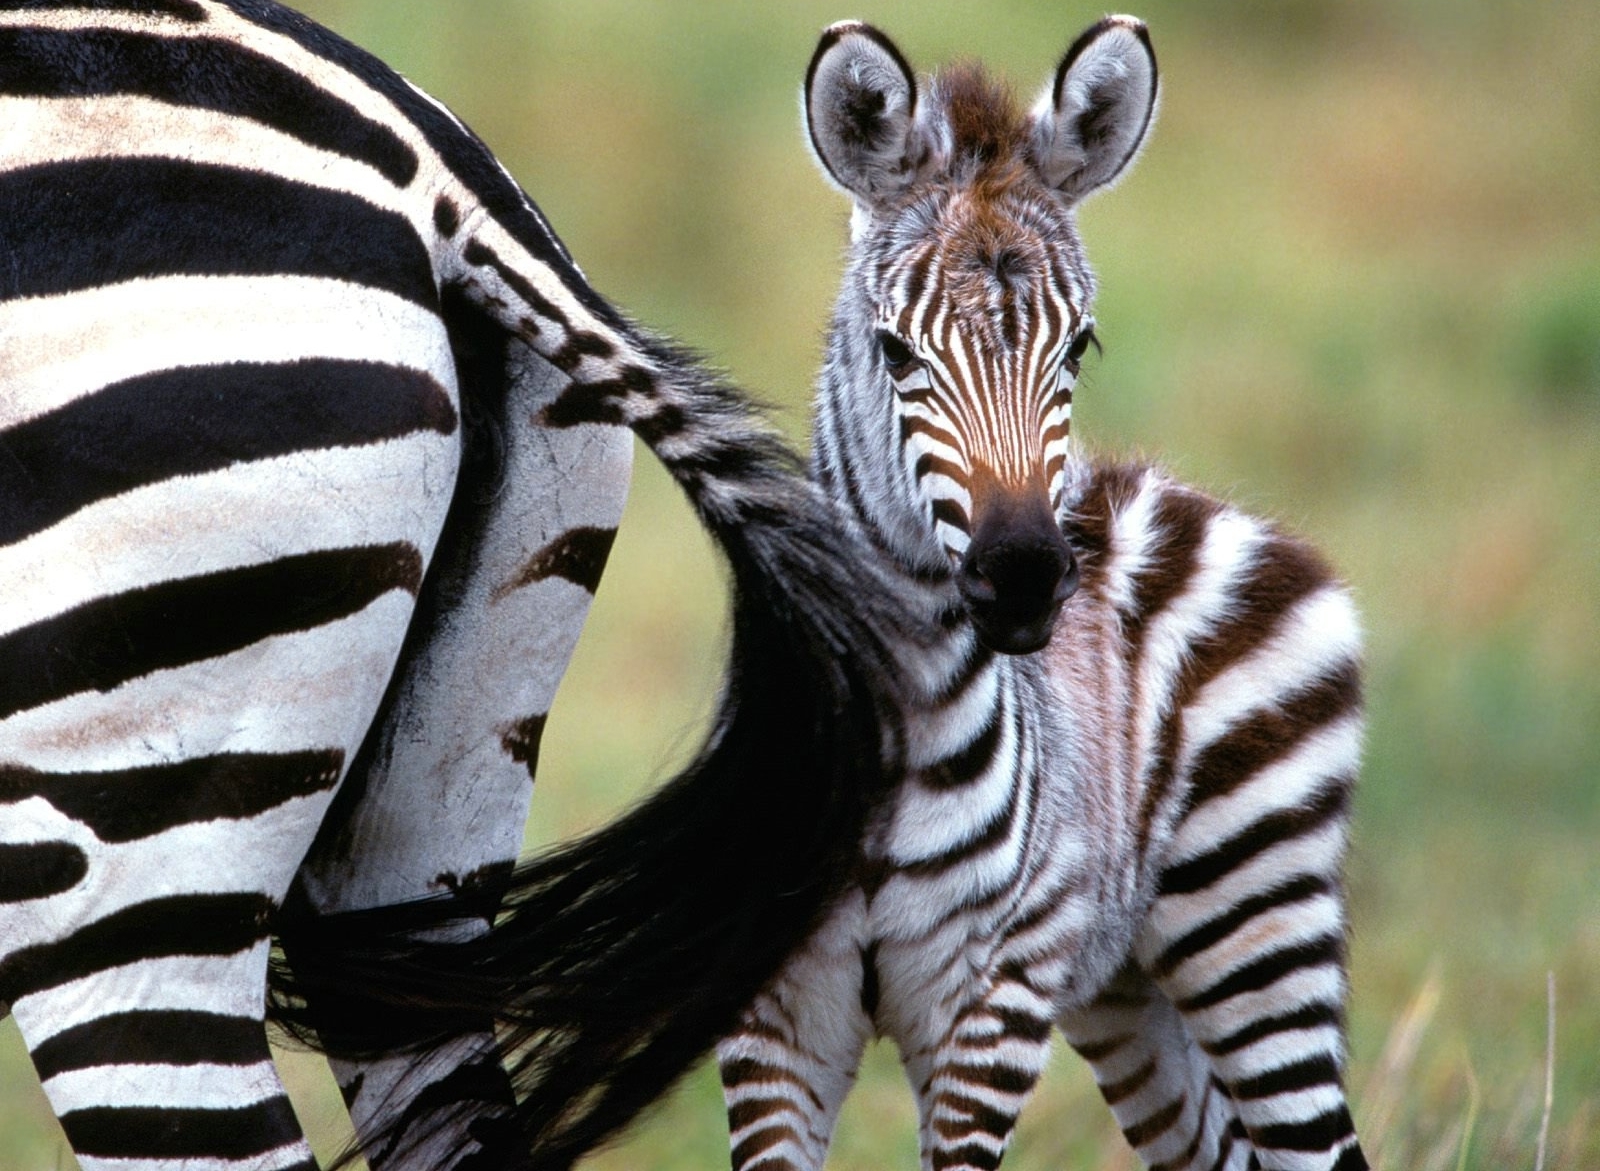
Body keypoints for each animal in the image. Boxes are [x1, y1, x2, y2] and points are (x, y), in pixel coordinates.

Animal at [712, 18, 1371, 1171]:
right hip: (1126, 981)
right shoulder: (771, 1022)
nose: (1023, 571)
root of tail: (1181, 498)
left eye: (1079, 345)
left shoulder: (991, 1007)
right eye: (894, 350)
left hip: (1253, 913)